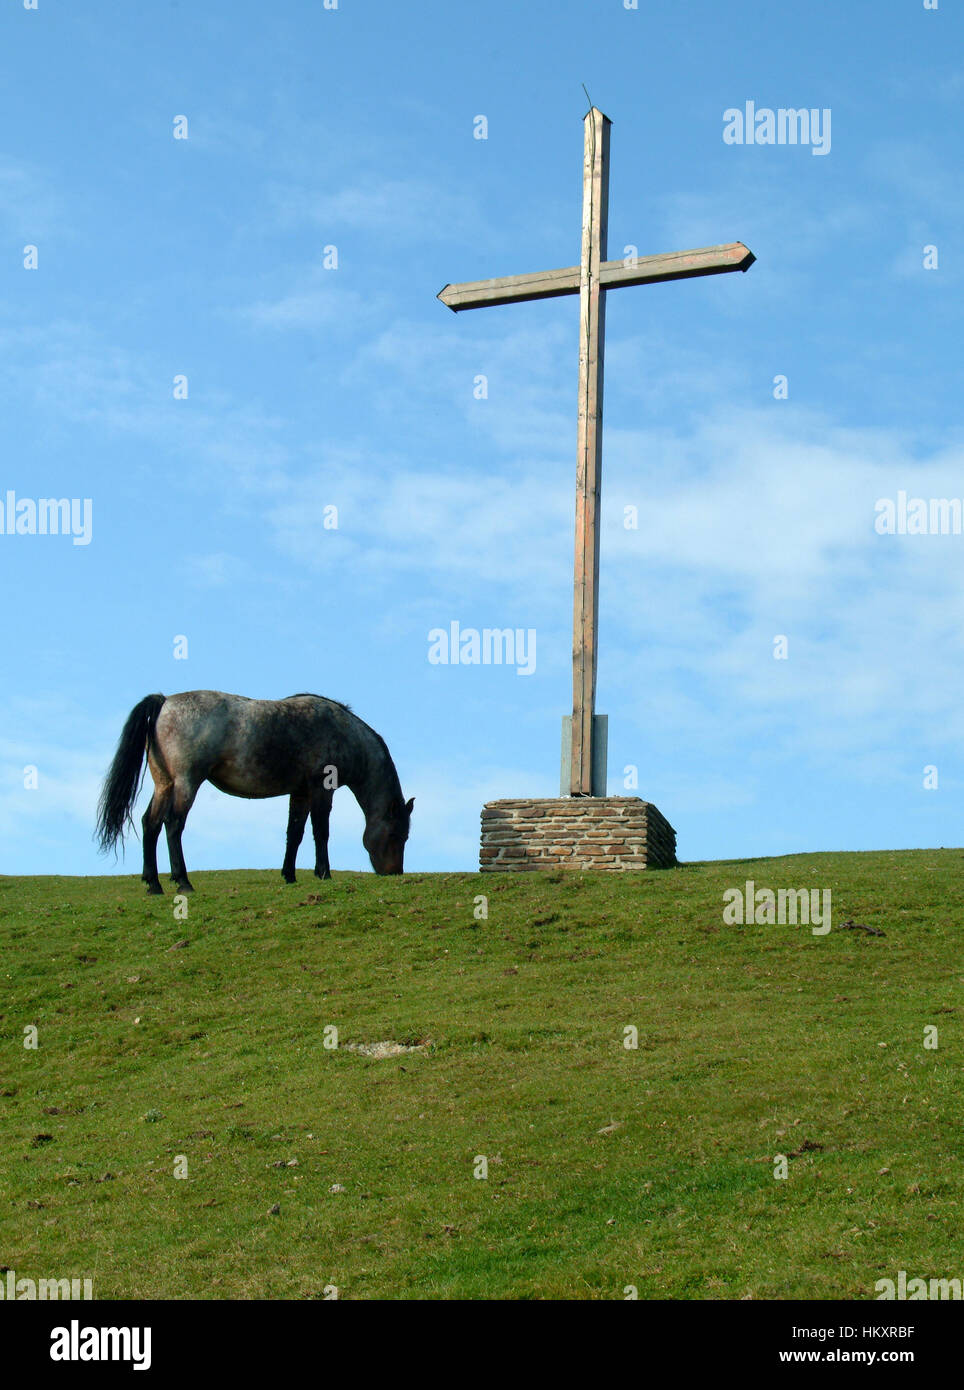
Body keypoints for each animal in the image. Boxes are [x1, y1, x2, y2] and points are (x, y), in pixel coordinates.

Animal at [95, 691, 413, 893]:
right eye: (397, 835)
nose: (394, 873)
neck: (343, 732)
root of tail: (165, 702)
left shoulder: (300, 793)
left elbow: (294, 833)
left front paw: (289, 876)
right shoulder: (321, 789)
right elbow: (320, 831)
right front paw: (323, 872)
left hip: (165, 784)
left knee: (150, 824)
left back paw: (154, 884)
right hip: (187, 782)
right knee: (173, 824)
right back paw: (183, 881)